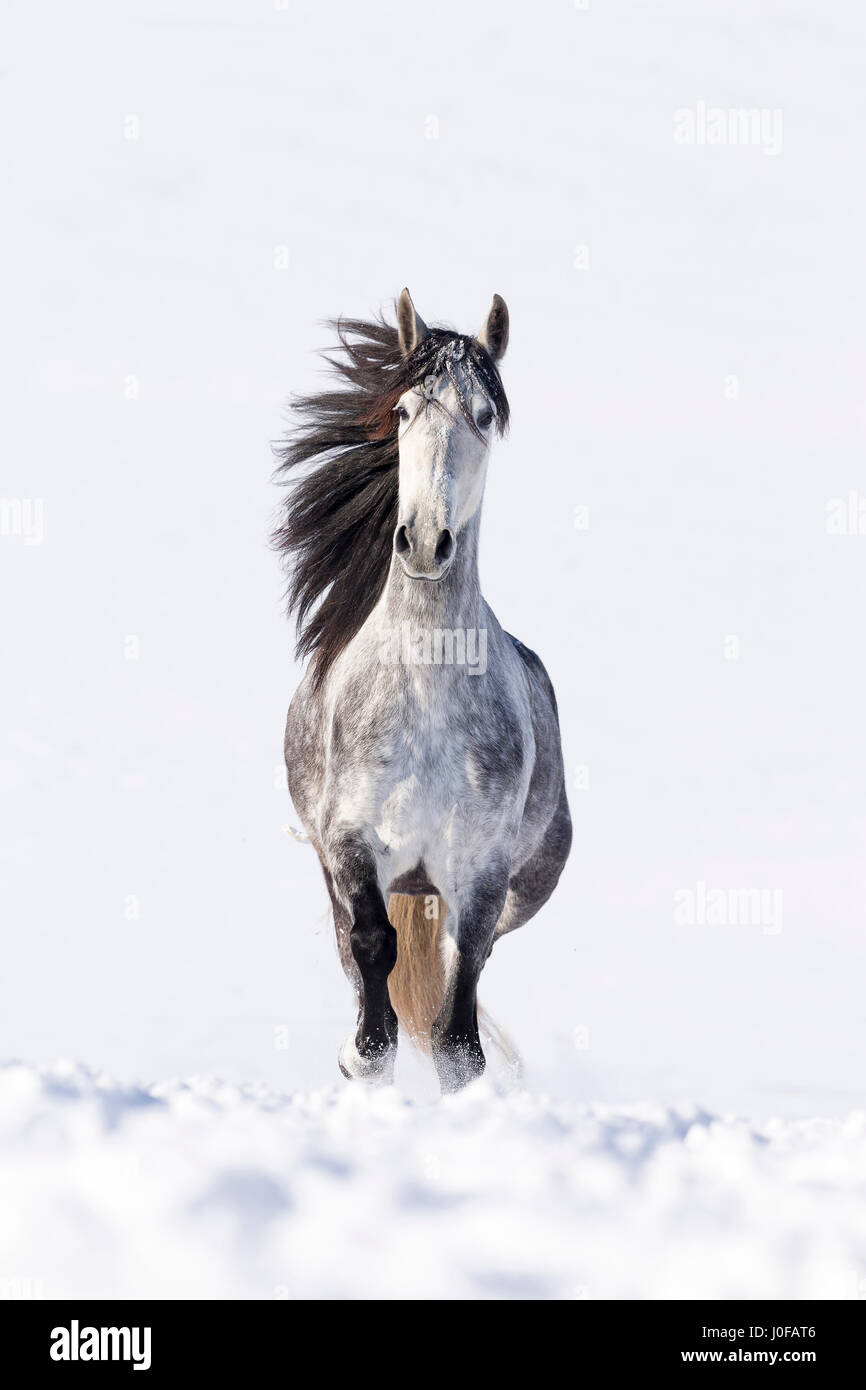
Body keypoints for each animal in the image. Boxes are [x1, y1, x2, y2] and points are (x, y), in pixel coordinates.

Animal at [275, 290, 572, 1092]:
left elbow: (457, 1035)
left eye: (485, 415)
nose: (424, 541)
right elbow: (375, 955)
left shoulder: (482, 870)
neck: (427, 706)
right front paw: (359, 1059)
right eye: (405, 410)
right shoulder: (349, 841)